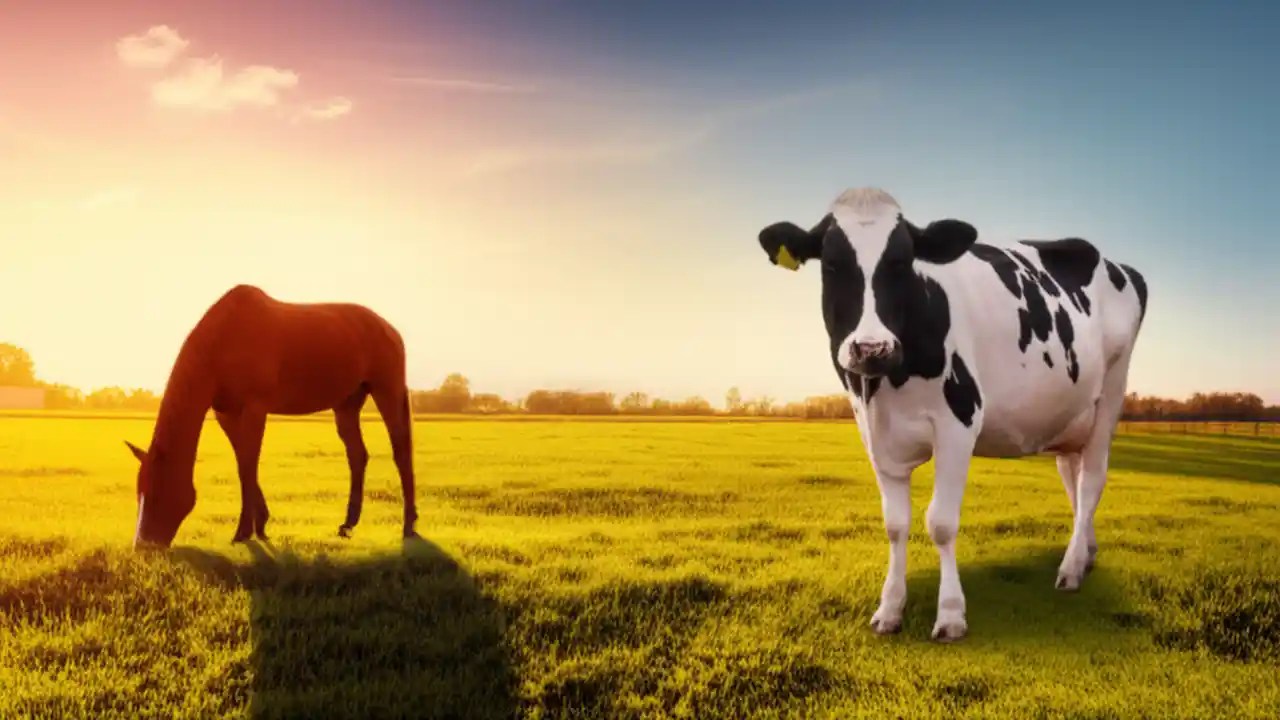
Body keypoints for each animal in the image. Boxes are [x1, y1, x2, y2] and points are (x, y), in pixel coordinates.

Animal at [125, 284, 419, 547]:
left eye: (156, 494)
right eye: (138, 492)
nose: (143, 545)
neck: (223, 341)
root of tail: (389, 329)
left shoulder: (254, 408)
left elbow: (248, 466)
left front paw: (244, 531)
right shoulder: (226, 414)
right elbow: (242, 463)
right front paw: (261, 524)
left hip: (387, 389)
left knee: (401, 451)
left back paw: (409, 525)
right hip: (346, 404)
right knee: (358, 455)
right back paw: (348, 524)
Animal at [756, 187, 1148, 642]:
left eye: (902, 261)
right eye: (832, 263)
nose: (872, 348)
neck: (886, 388)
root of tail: (1116, 263)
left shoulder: (958, 424)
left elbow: (941, 522)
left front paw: (950, 614)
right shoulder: (873, 433)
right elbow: (895, 524)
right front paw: (889, 608)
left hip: (1112, 392)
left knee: (1091, 483)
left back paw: (1069, 570)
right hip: (1069, 412)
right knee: (1073, 475)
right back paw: (1085, 554)